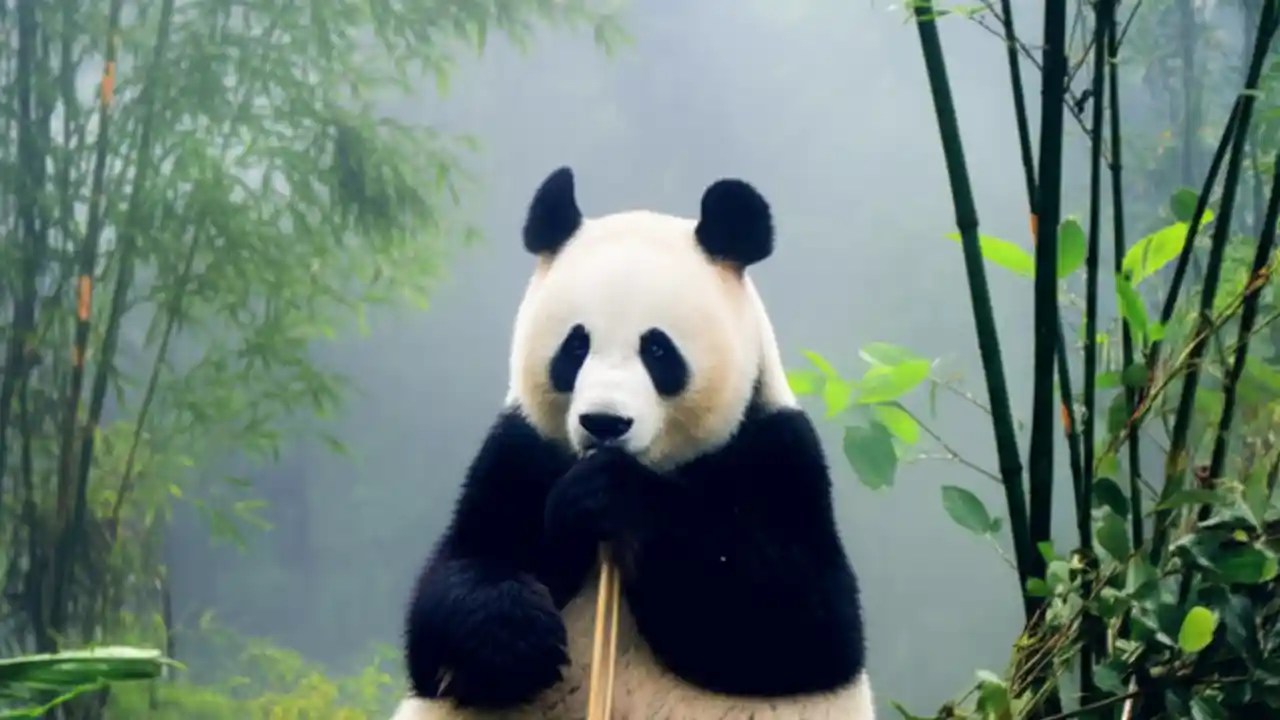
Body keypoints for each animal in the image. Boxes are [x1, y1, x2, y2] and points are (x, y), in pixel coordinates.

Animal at [390, 167, 875, 720]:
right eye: (576, 346)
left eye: (658, 350)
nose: (604, 423)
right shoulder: (522, 448)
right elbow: (449, 590)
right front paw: (515, 633)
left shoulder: (777, 452)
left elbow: (805, 621)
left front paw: (612, 494)